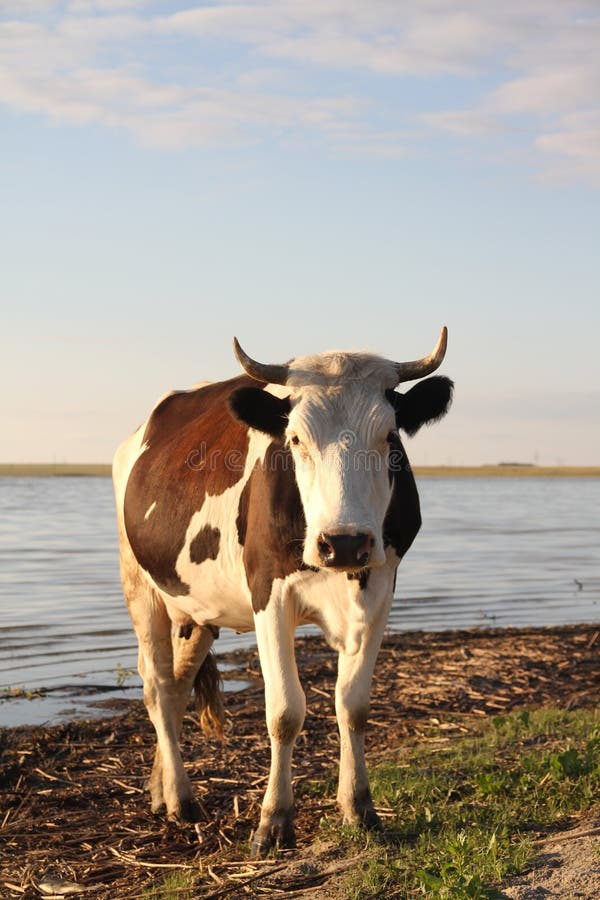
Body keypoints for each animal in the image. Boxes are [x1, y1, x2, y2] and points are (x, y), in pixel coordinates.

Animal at [112, 328, 453, 855]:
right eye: (295, 439)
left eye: (390, 436)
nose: (345, 542)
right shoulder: (266, 593)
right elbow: (285, 712)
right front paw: (273, 821)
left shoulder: (380, 587)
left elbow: (353, 705)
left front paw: (359, 809)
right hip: (140, 587)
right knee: (156, 686)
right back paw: (182, 801)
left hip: (197, 609)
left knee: (176, 687)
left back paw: (162, 789)